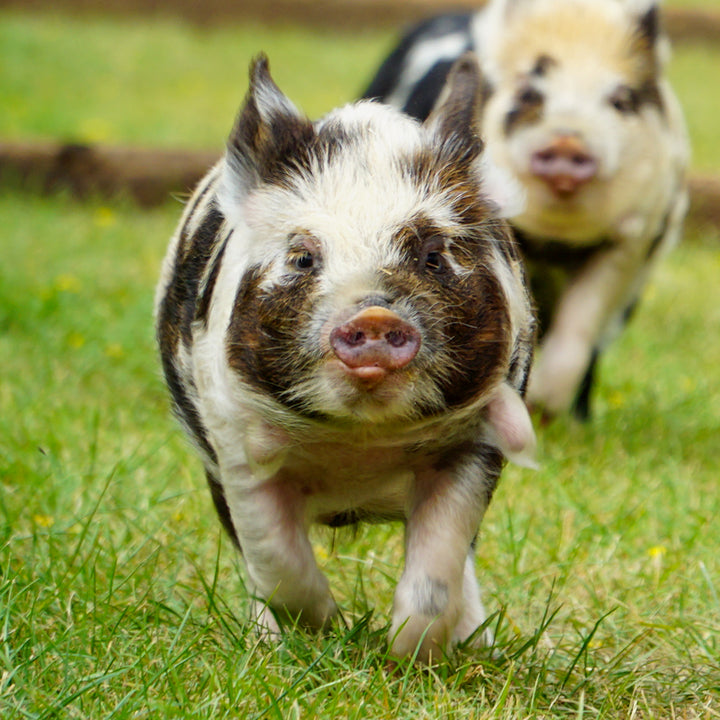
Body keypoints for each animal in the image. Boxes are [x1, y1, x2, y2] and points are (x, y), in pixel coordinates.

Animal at [155, 54, 537, 663]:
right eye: (303, 257)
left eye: (433, 255)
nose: (375, 315)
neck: (358, 448)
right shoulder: (235, 446)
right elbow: (276, 560)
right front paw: (325, 630)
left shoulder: (476, 441)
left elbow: (436, 571)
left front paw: (407, 656)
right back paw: (265, 642)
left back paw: (480, 647)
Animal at [363, 0, 689, 418]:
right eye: (529, 94)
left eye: (620, 101)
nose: (567, 141)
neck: (554, 243)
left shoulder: (632, 237)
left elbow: (579, 326)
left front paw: (545, 408)